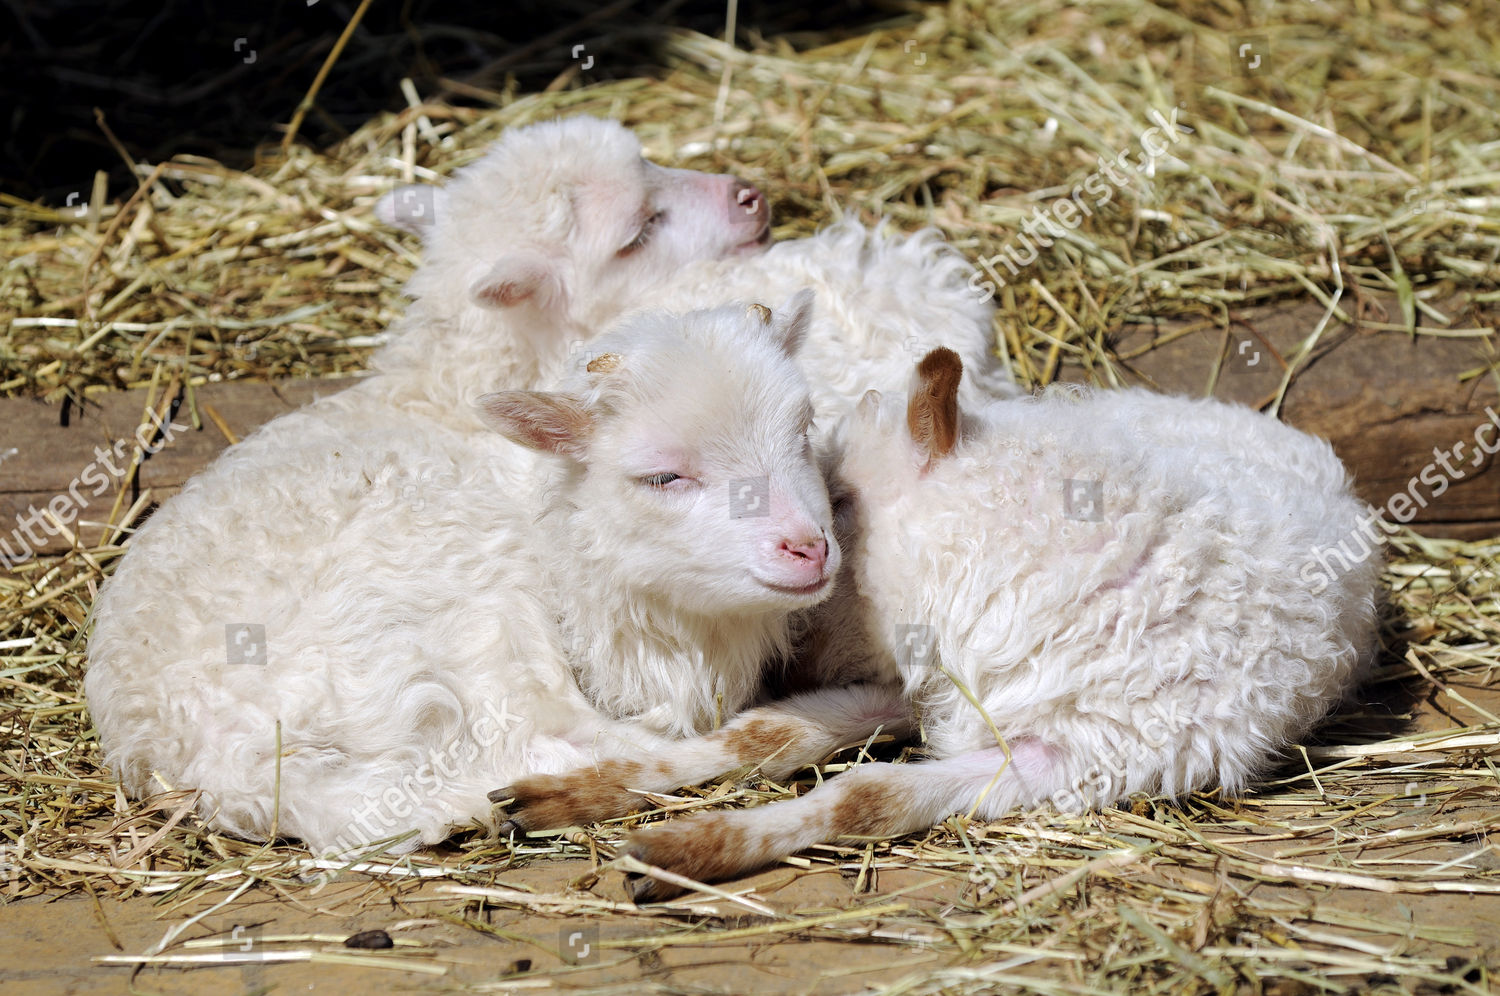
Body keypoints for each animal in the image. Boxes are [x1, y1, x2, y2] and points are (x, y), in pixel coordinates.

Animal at [492, 349, 1381, 901]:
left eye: (841, 500)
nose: (792, 646)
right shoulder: (930, 679)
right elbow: (768, 735)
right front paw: (570, 793)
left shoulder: (1077, 754)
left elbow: (868, 798)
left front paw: (686, 852)